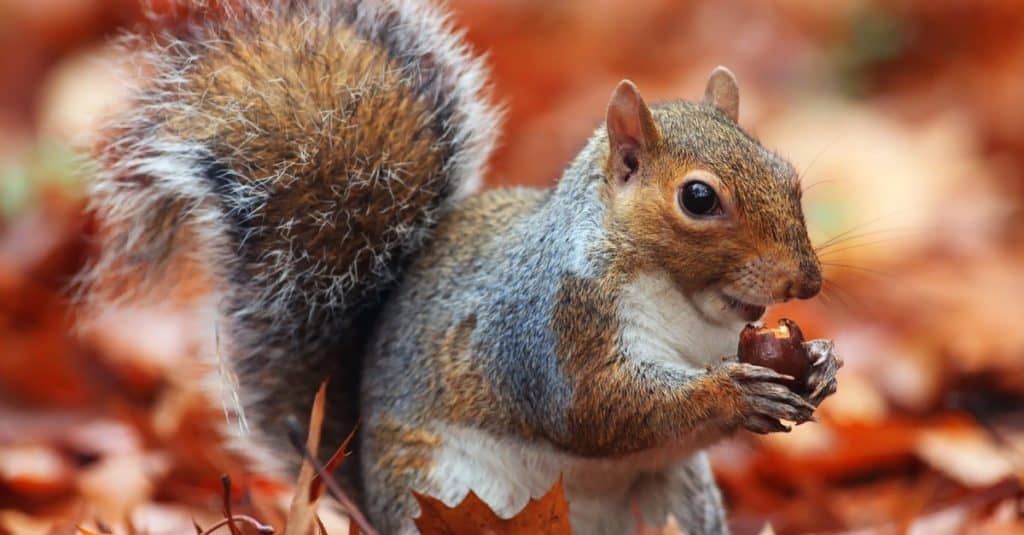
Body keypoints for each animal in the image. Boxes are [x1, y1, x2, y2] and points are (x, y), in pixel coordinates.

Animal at [83, 0, 841, 533]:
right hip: (446, 488)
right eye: (698, 198)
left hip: (677, 499)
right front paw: (731, 393)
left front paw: (822, 365)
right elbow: (596, 409)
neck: (688, 306)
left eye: (786, 175)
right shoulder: (548, 328)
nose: (805, 282)